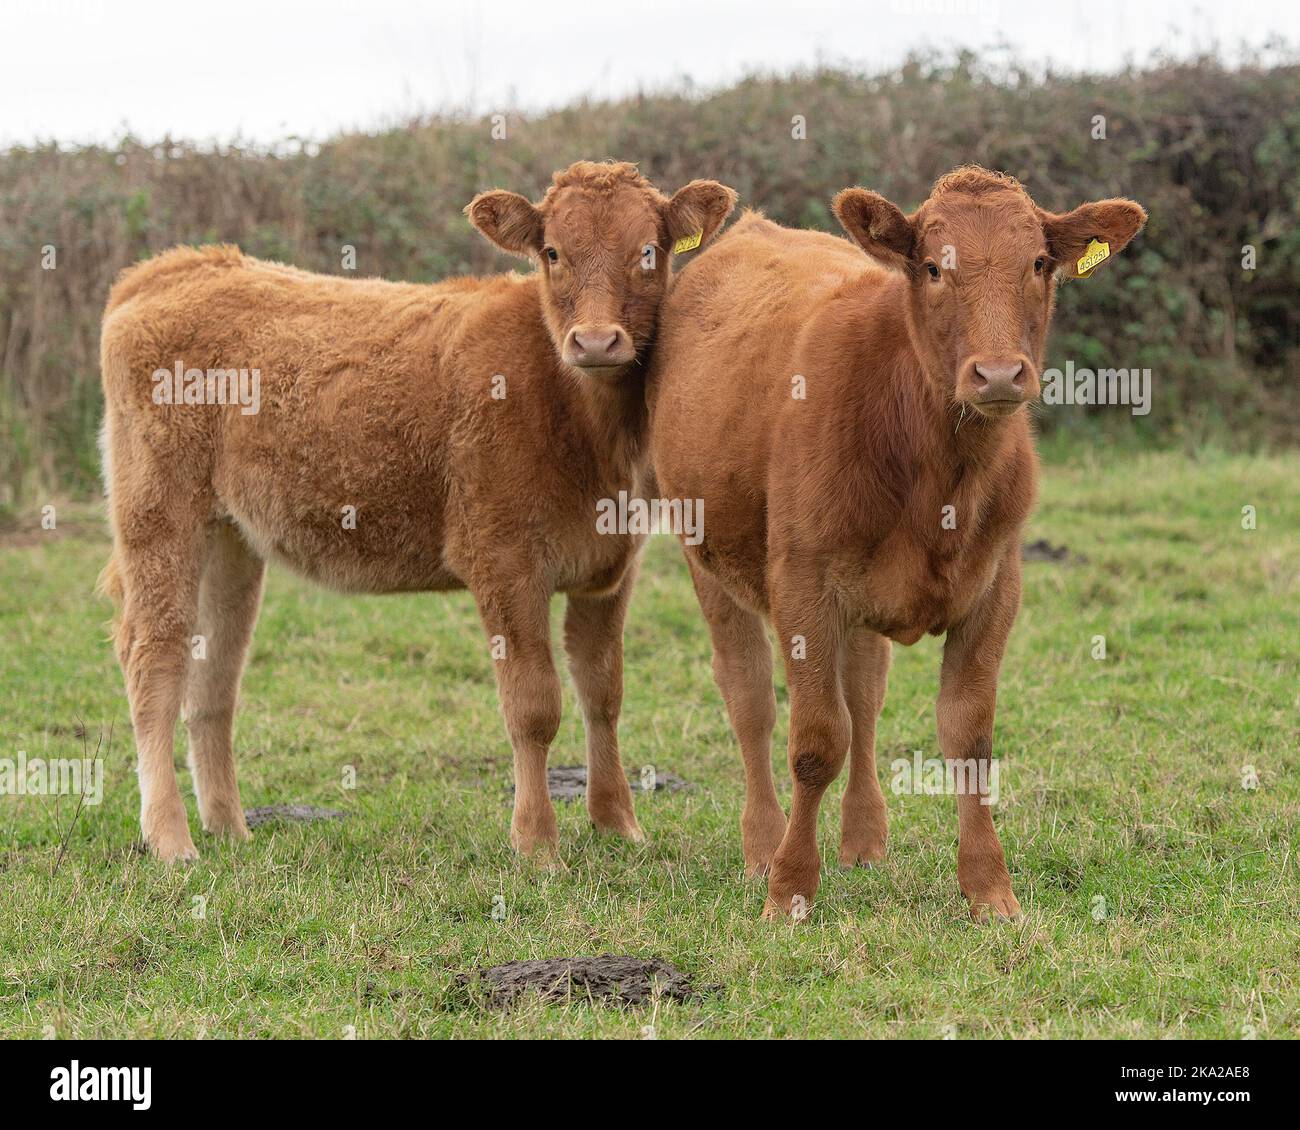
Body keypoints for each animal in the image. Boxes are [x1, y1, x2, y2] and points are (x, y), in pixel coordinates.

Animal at [98, 160, 737, 864]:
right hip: (159, 512)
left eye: (648, 252)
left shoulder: (611, 565)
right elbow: (534, 705)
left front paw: (618, 824)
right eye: (552, 253)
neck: (582, 419)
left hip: (231, 535)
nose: (596, 341)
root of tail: (179, 264)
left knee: (214, 678)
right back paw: (170, 839)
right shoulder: (501, 559)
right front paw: (537, 844)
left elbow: (604, 692)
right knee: (154, 660)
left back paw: (229, 828)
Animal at [647, 166, 1146, 920]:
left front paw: (989, 888)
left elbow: (967, 736)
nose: (999, 374)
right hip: (704, 555)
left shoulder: (996, 586)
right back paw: (762, 848)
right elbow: (815, 741)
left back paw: (863, 840)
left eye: (1038, 263)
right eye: (934, 267)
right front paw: (790, 889)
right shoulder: (802, 585)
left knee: (864, 695)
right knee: (750, 698)